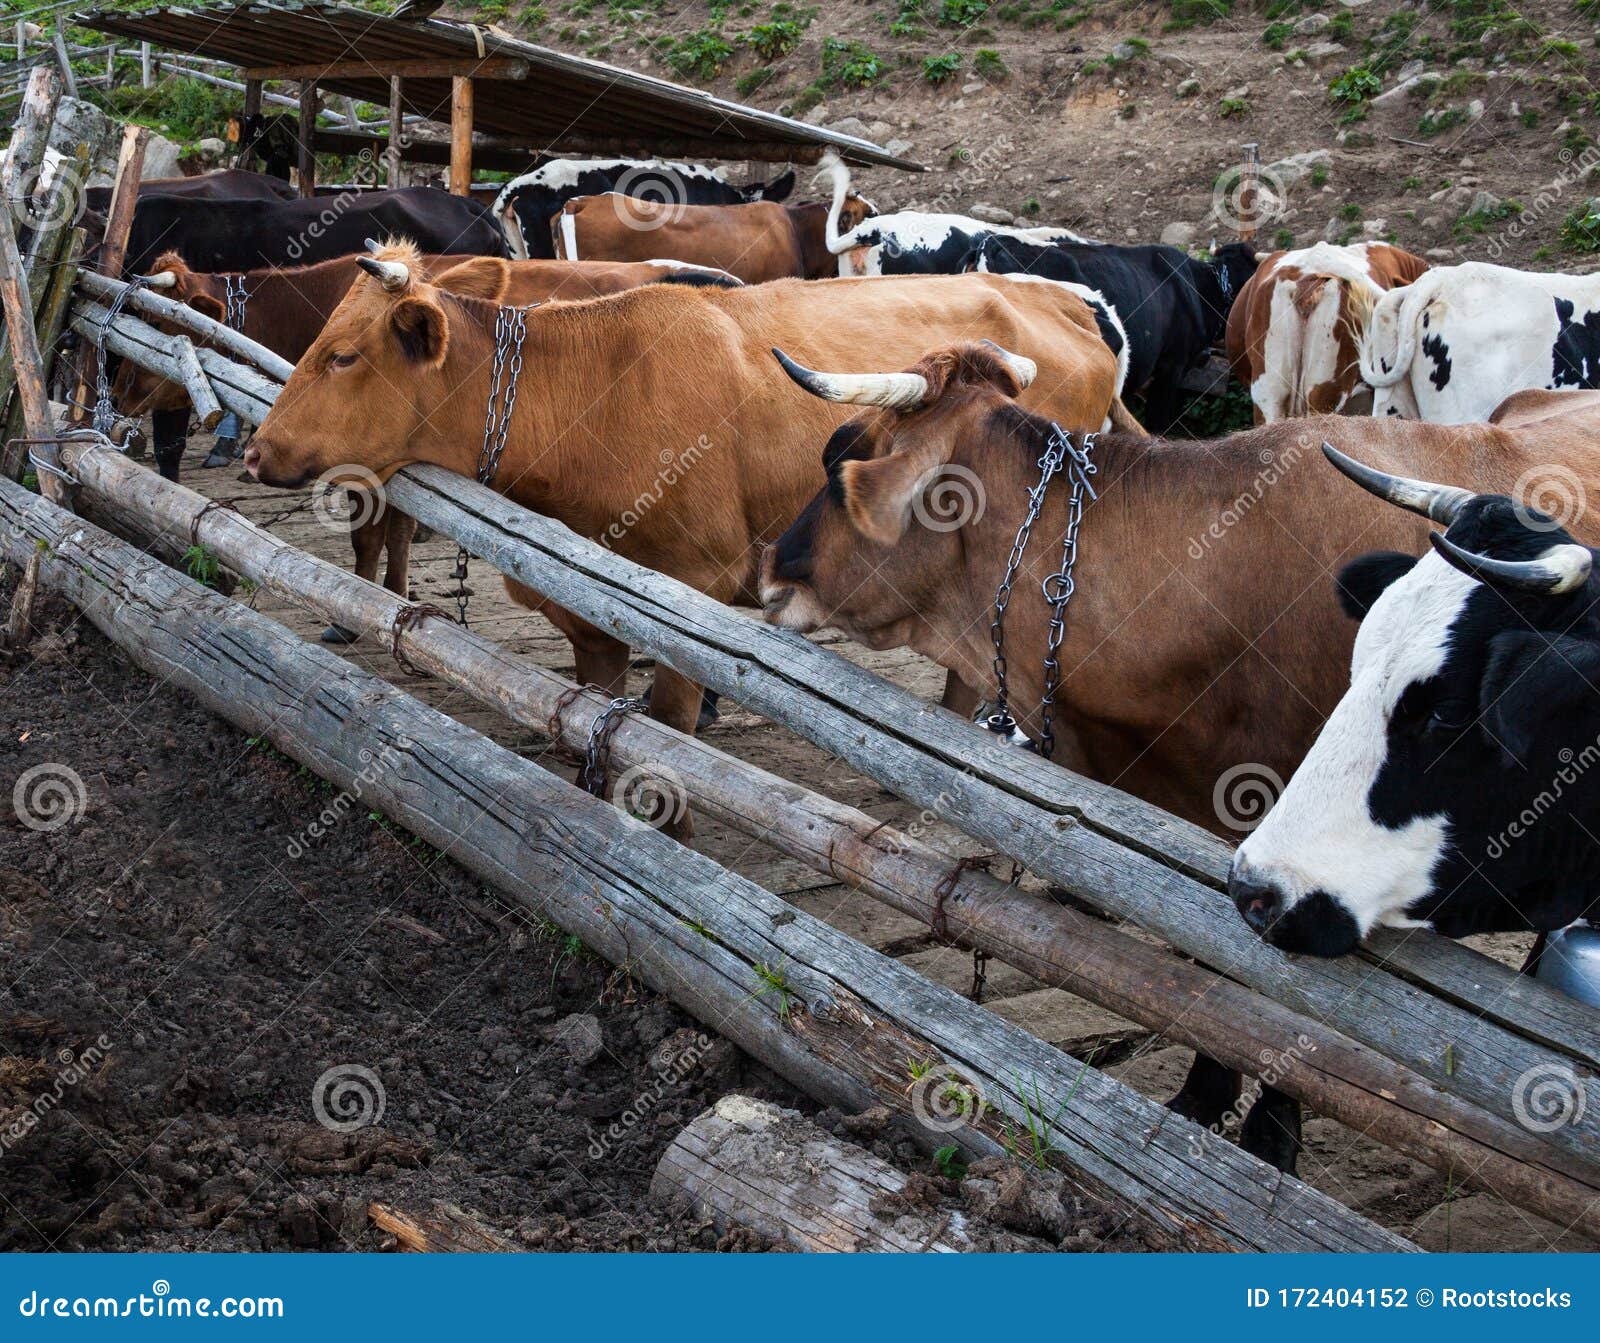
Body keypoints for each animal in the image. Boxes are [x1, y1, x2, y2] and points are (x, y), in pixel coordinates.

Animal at [243, 243, 1129, 764]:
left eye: (342, 355)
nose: (254, 450)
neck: (593, 391)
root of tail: (1059, 300)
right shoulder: (581, 607)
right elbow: (591, 703)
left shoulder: (691, 586)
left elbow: (667, 725)